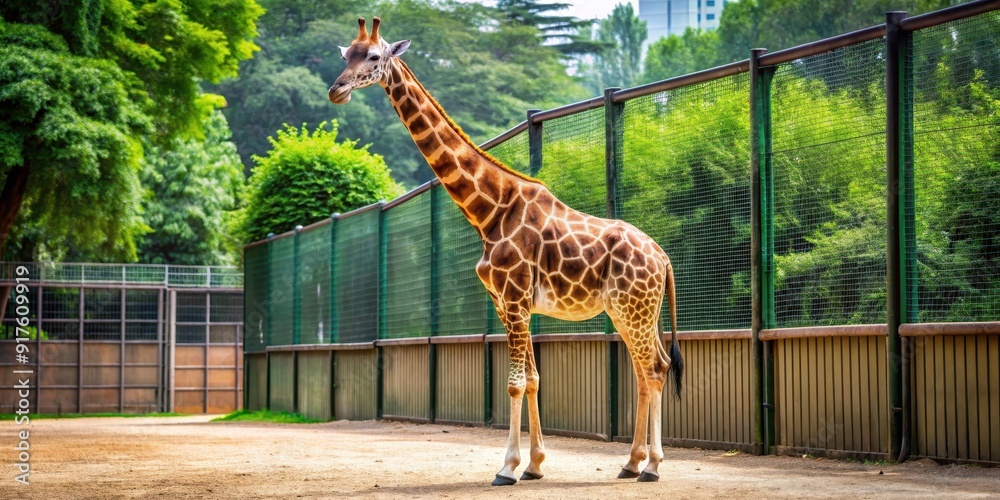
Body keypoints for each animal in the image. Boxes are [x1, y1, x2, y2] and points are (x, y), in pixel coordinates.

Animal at [328, 17, 684, 485]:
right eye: (344, 55)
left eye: (372, 56)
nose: (336, 90)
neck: (489, 210)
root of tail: (663, 257)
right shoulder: (505, 302)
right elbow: (532, 379)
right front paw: (534, 464)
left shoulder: (514, 297)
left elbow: (515, 382)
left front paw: (508, 467)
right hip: (630, 310)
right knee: (646, 371)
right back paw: (630, 463)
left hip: (634, 308)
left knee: (656, 369)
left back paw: (653, 467)